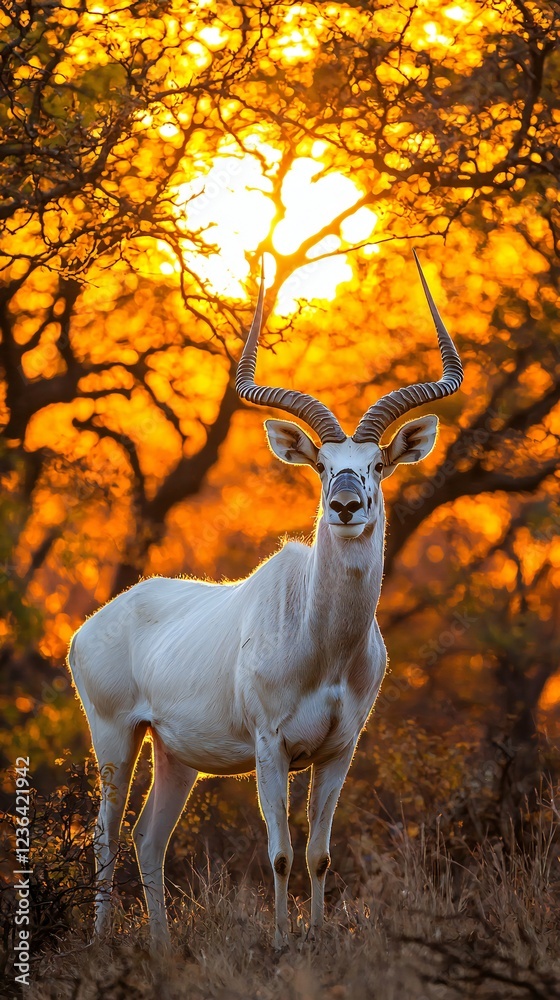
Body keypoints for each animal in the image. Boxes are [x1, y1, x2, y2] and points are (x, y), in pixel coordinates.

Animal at [68, 251, 463, 949]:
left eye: (377, 464)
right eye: (322, 464)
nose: (346, 506)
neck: (321, 642)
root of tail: (93, 625)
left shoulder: (338, 752)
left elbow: (319, 854)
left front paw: (317, 938)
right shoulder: (270, 749)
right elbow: (278, 852)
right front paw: (280, 941)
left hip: (174, 757)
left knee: (148, 838)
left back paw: (161, 945)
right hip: (115, 737)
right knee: (106, 834)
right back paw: (101, 942)